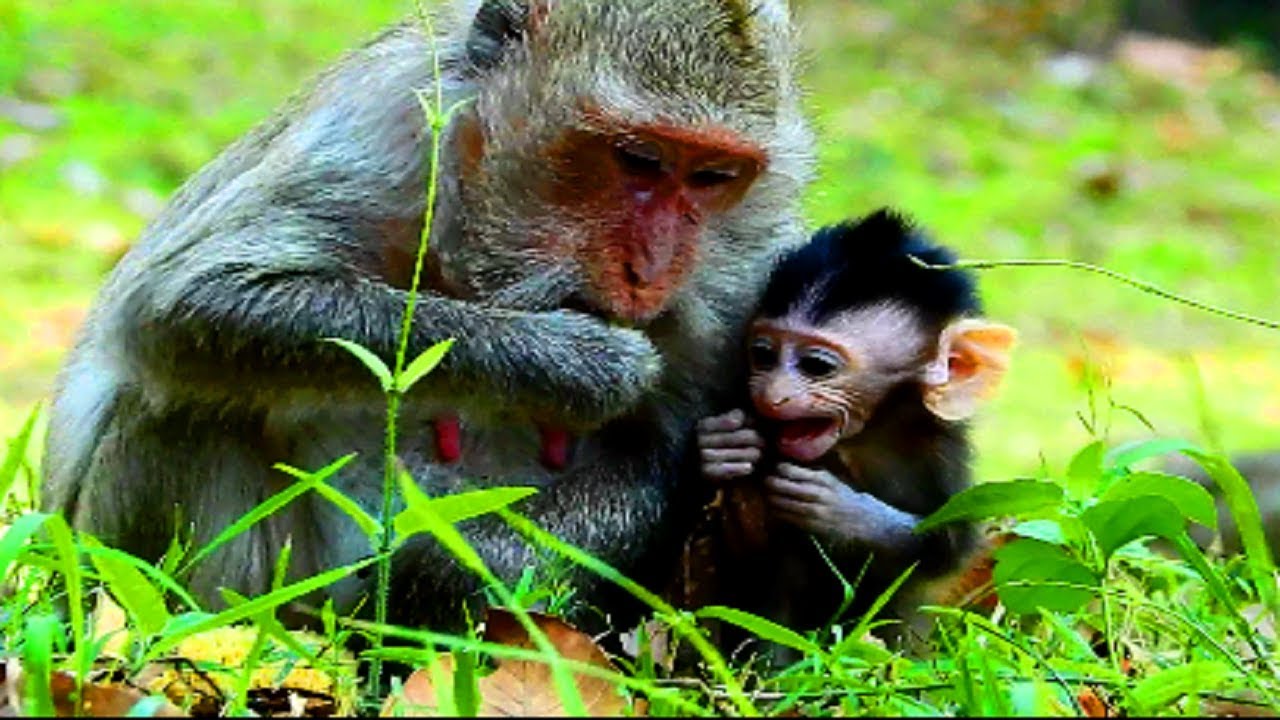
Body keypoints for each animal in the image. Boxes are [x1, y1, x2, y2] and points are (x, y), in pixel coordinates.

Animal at [41, 0, 814, 632]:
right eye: (638, 159)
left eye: (713, 176)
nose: (652, 270)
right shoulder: (382, 129)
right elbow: (189, 299)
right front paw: (580, 364)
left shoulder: (746, 275)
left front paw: (437, 575)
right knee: (179, 407)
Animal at [695, 209, 1016, 643]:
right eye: (762, 354)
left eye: (816, 366)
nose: (771, 394)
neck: (865, 439)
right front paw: (724, 448)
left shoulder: (941, 456)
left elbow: (948, 549)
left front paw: (846, 513)